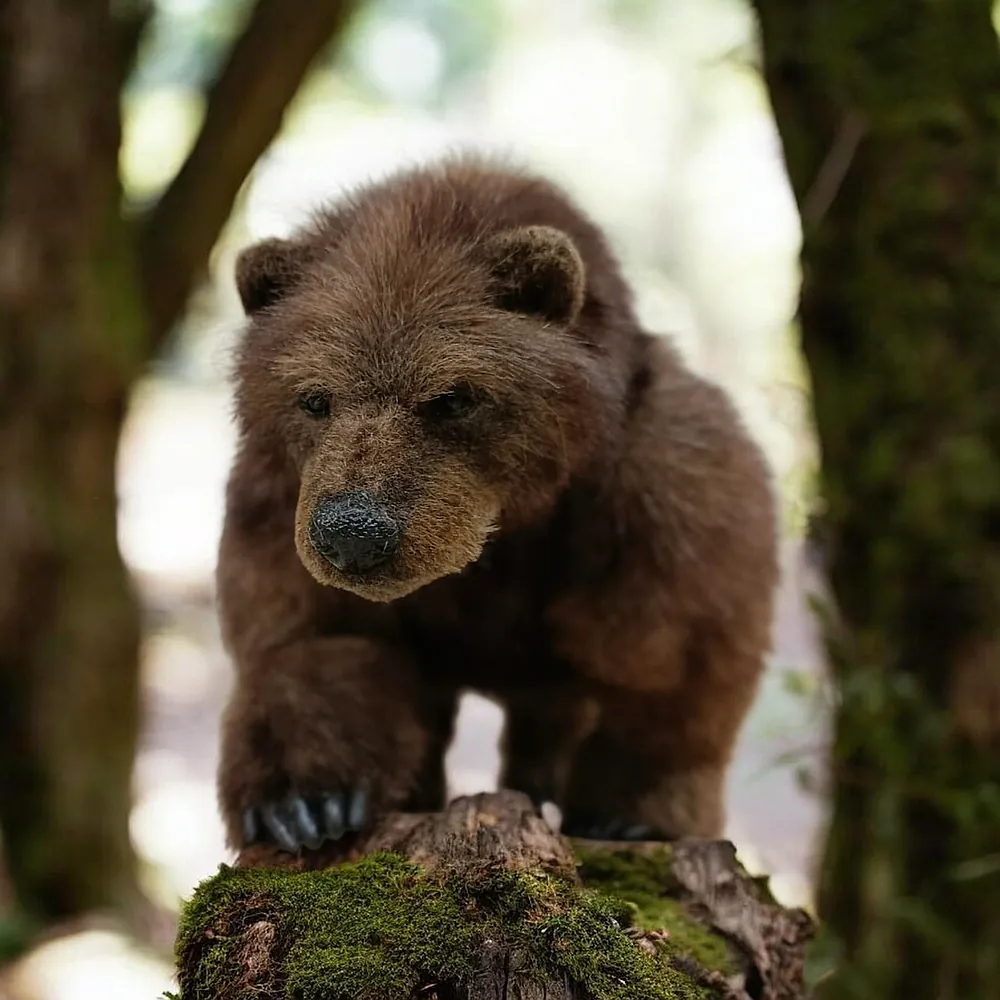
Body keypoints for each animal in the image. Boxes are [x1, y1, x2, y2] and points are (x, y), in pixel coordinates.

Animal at [215, 155, 779, 855]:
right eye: (314, 398)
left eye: (454, 397)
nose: (352, 532)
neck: (503, 534)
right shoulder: (277, 500)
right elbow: (320, 641)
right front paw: (305, 803)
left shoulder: (664, 497)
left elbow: (665, 665)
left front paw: (628, 813)